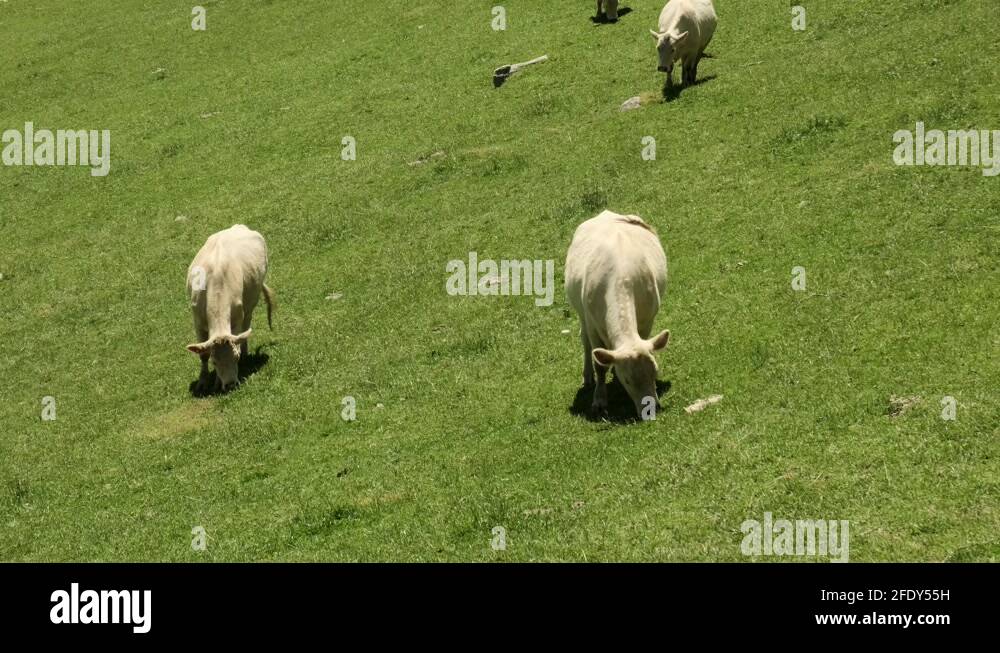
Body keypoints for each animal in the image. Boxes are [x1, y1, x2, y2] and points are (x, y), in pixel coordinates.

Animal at [185, 224, 274, 393]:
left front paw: (217, 383)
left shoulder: (237, 317)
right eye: (214, 362)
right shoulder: (197, 321)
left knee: (247, 325)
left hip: (251, 302)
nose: (231, 385)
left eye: (236, 357)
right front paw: (203, 382)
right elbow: (203, 354)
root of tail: (240, 226)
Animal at [565, 210, 670, 418]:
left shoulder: (647, 322)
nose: (650, 410)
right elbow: (599, 365)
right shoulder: (592, 324)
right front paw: (599, 400)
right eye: (628, 380)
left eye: (655, 372)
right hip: (581, 314)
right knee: (585, 341)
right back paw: (587, 376)